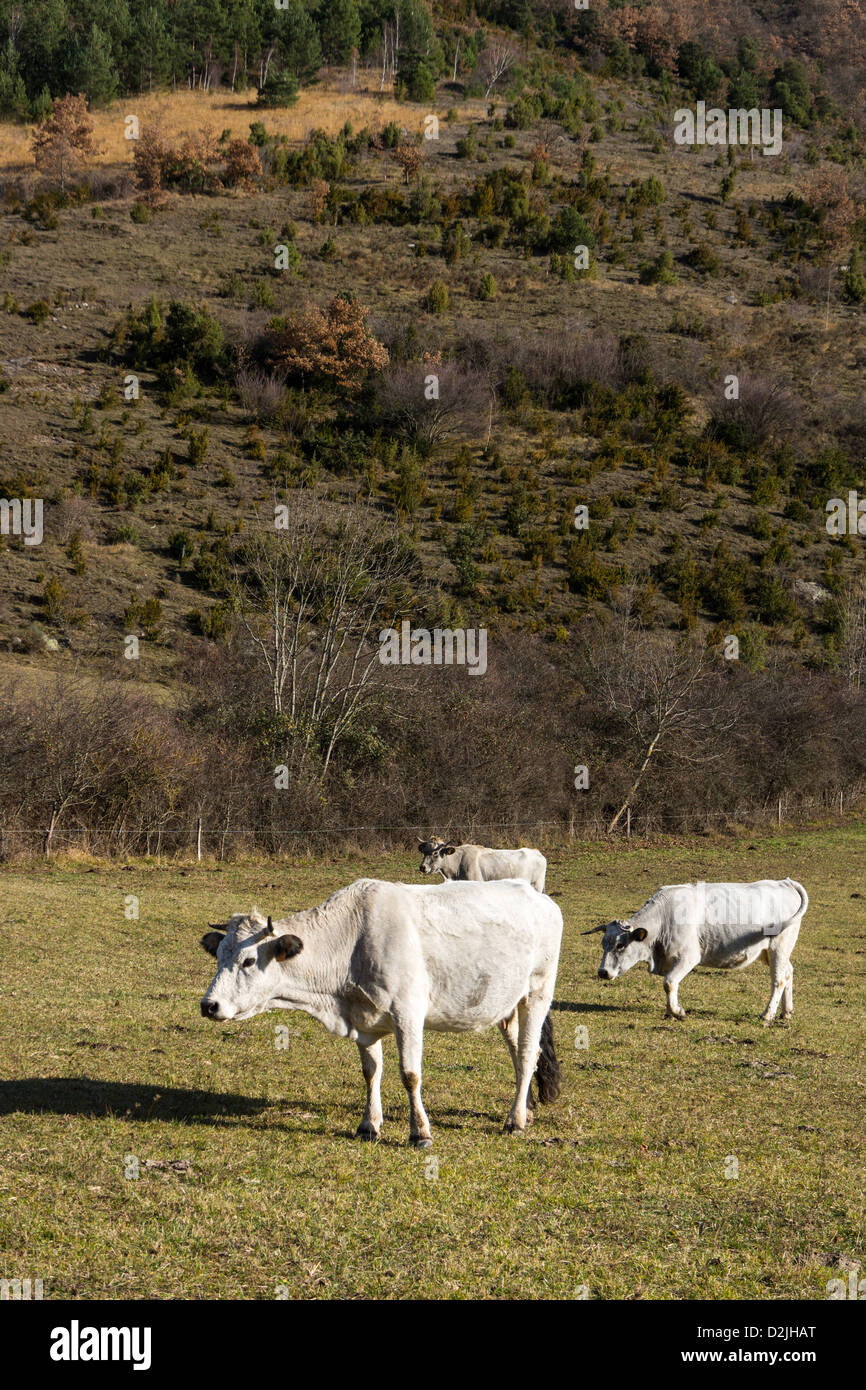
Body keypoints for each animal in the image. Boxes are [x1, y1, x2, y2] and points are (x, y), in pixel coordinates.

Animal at [200, 876, 563, 1147]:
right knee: (521, 1053)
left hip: (538, 992)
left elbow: (410, 1074)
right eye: (218, 955)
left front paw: (420, 1133)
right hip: (507, 1004)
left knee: (528, 1053)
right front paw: (369, 1124)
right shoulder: (364, 1020)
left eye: (248, 960)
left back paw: (515, 1120)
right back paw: (525, 1109)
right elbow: (371, 1072)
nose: (209, 1005)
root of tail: (537, 895)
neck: (352, 941)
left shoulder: (408, 1013)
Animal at [590, 878, 808, 1024]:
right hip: (770, 952)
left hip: (778, 948)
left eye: (620, 945)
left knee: (778, 980)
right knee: (788, 973)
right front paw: (669, 1012)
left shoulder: (688, 957)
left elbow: (669, 983)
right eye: (603, 944)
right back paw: (786, 1012)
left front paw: (677, 1011)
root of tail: (785, 883)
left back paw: (767, 1015)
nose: (603, 972)